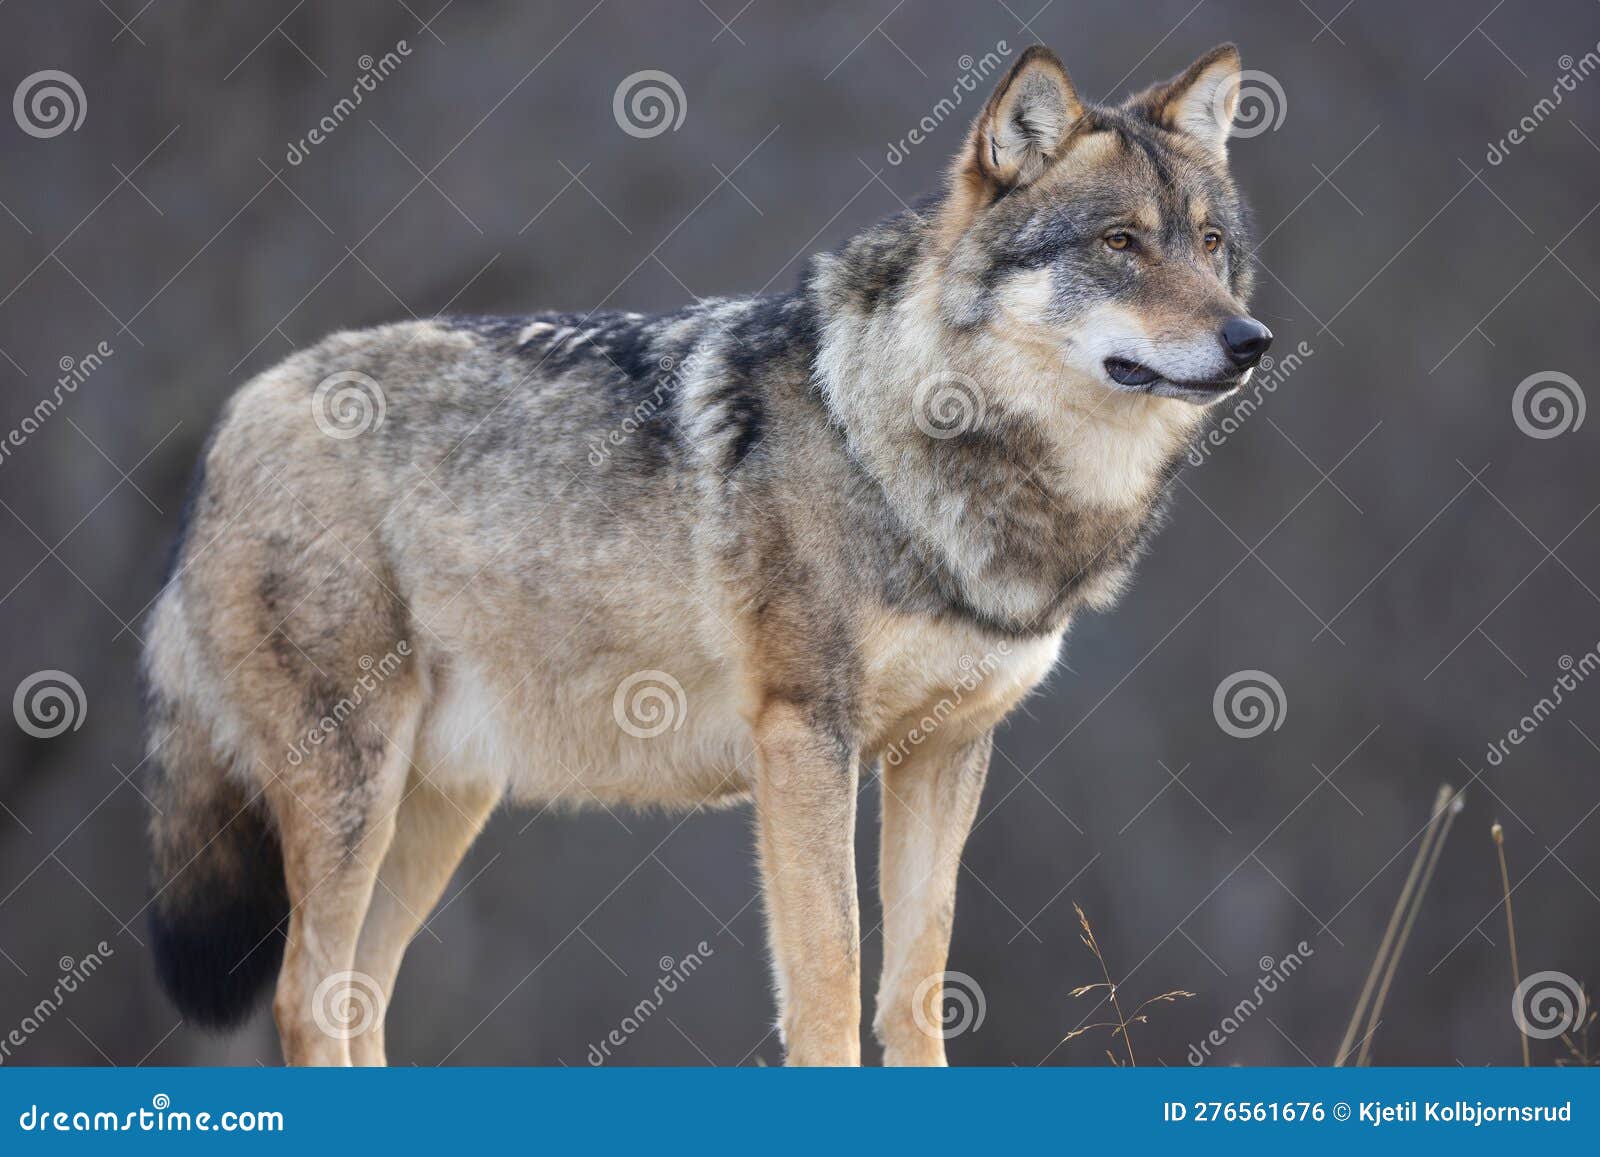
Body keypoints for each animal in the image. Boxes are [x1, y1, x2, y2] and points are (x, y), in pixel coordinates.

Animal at [142, 44, 1271, 1066]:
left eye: (1212, 243)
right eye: (1121, 241)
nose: (1250, 340)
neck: (902, 439)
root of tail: (239, 411)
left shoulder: (944, 749)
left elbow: (914, 993)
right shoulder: (805, 738)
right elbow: (830, 984)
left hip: (439, 806)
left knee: (357, 998)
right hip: (355, 789)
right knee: (302, 997)